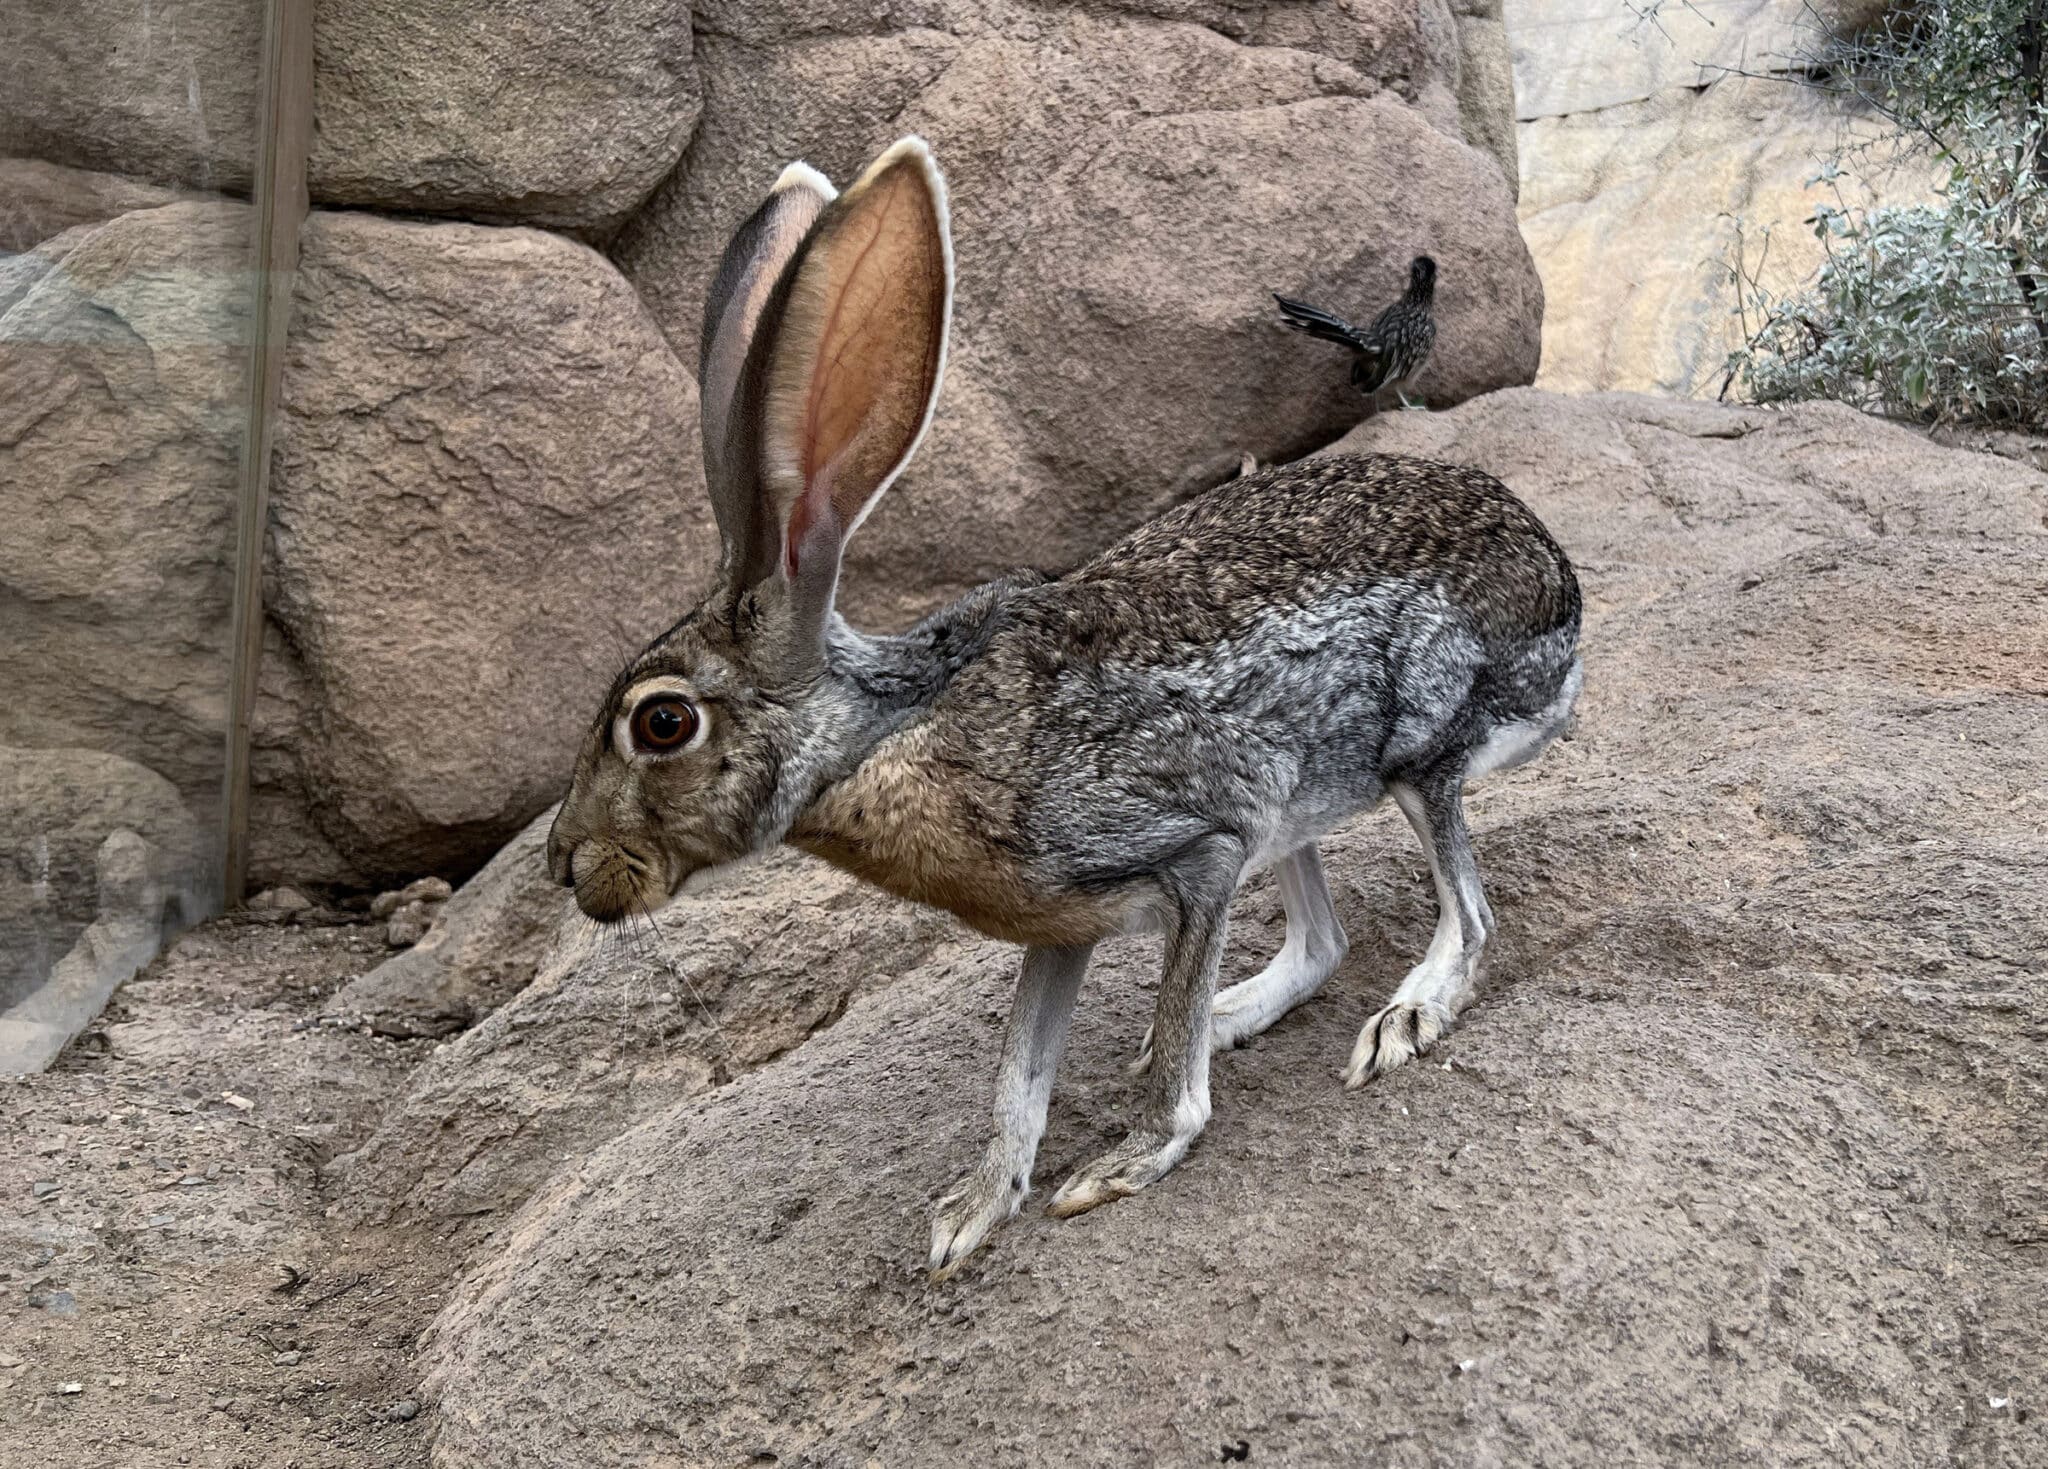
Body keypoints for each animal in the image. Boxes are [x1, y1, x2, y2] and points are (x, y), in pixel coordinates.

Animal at [546, 136, 1584, 1281]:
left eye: (663, 723)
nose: (566, 865)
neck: (889, 733)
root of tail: (1557, 584)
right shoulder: (1061, 922)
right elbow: (1017, 1074)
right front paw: (969, 1213)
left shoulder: (1197, 851)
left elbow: (1143, 1075)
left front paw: (1124, 1161)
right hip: (1294, 802)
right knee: (1319, 941)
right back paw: (1227, 1015)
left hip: (1412, 751)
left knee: (1466, 912)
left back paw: (1403, 1017)